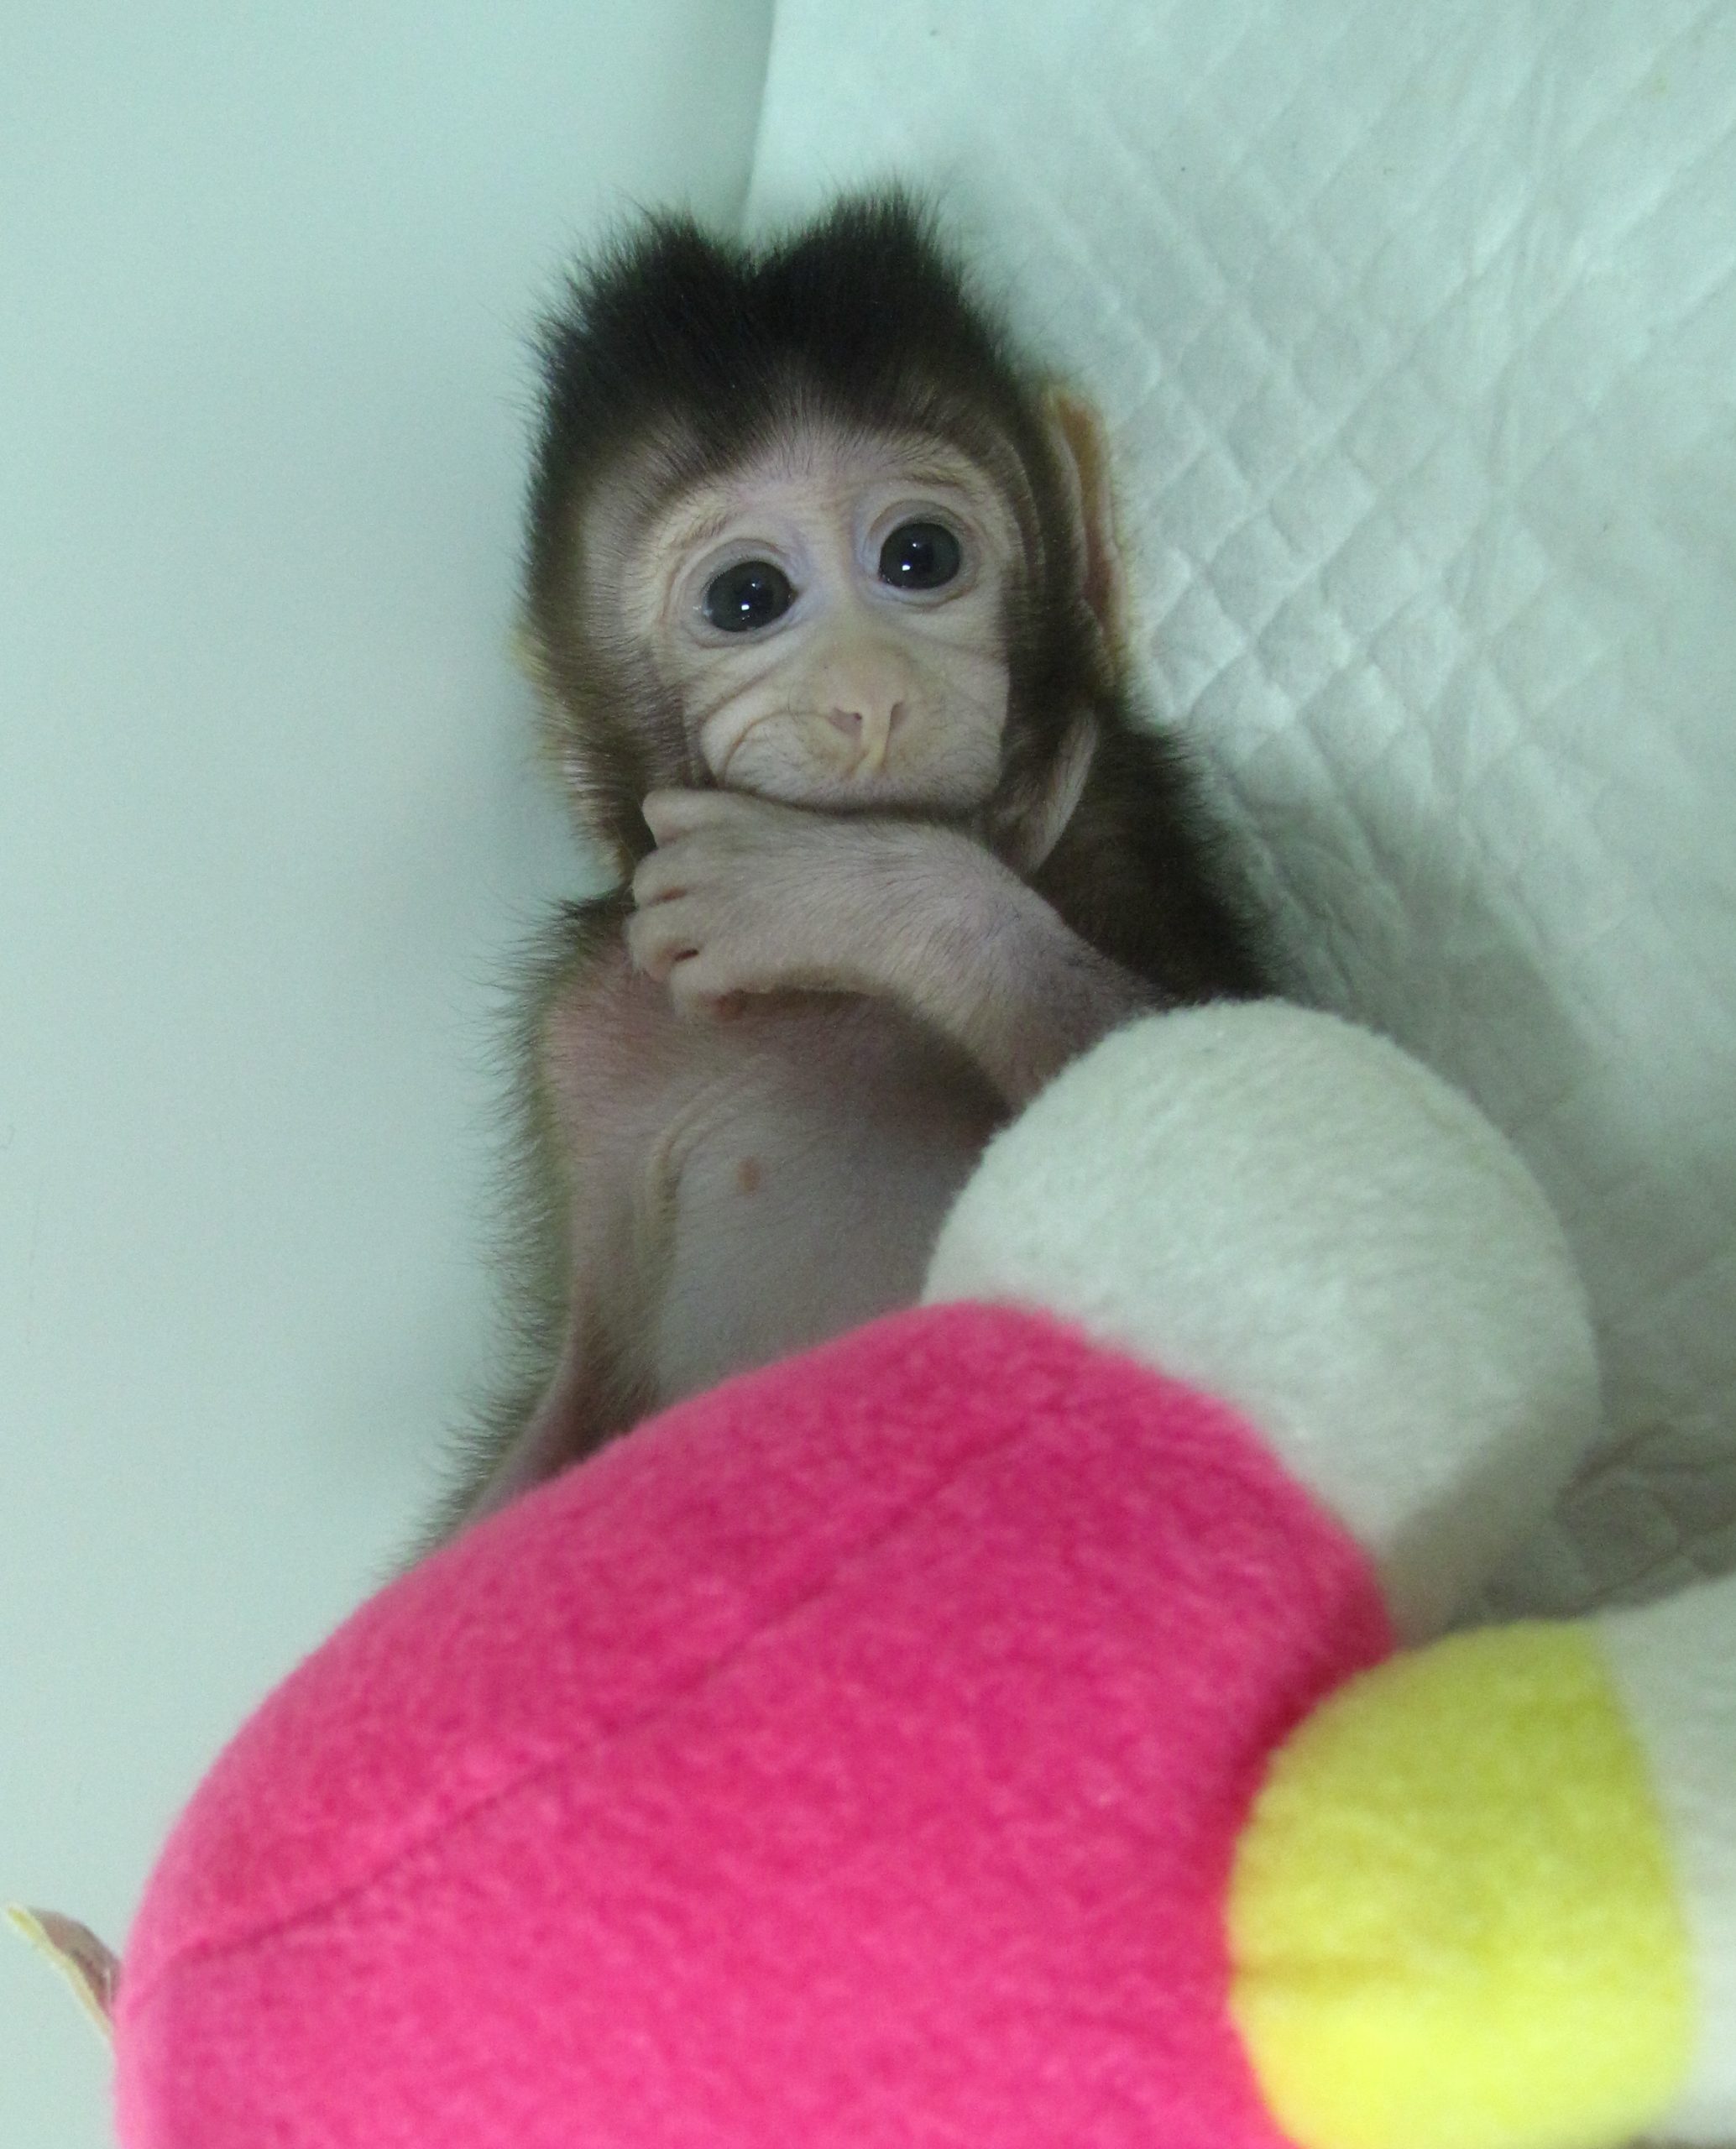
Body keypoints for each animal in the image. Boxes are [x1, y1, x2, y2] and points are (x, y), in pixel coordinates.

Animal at [435, 191, 1269, 1536]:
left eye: (921, 557)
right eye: (748, 597)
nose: (871, 694)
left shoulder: (1118, 816)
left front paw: (833, 889)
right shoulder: (585, 1030)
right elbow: (581, 1383)